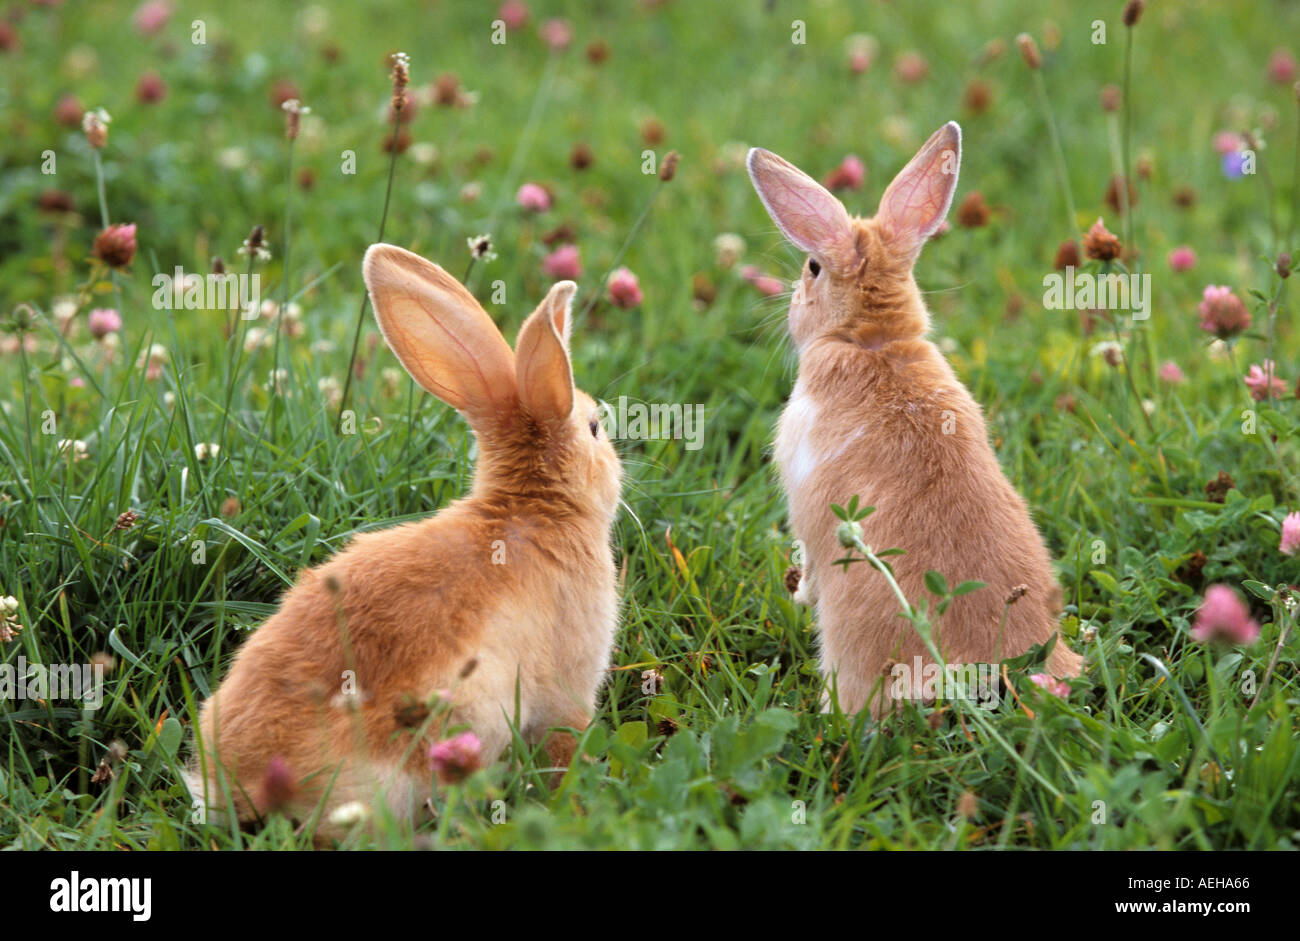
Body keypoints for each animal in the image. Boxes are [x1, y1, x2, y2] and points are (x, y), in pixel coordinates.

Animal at [185, 243, 623, 833]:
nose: (619, 462)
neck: (532, 506)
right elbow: (563, 745)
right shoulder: (567, 691)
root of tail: (243, 788)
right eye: (595, 429)